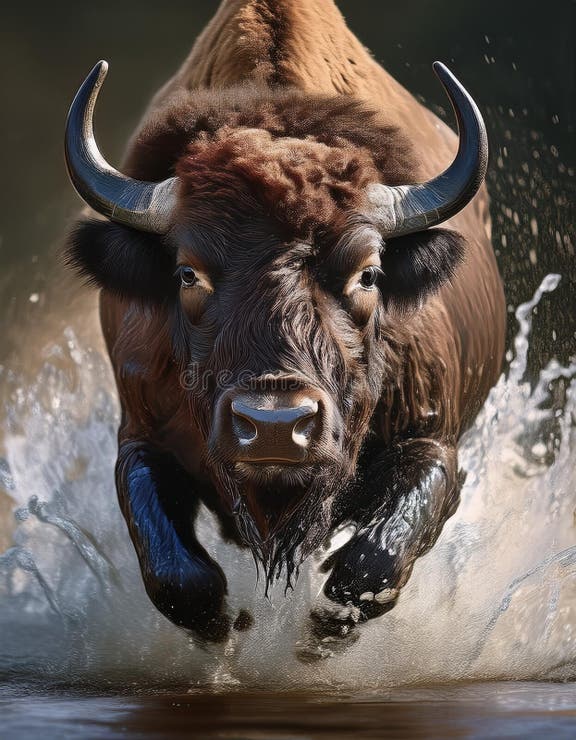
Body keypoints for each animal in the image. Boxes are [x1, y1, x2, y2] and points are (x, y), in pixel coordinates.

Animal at [64, 0, 505, 649]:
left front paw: (321, 630)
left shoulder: (434, 440)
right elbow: (178, 574)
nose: (275, 427)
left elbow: (372, 560)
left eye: (368, 272)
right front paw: (228, 629)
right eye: (187, 273)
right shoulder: (141, 436)